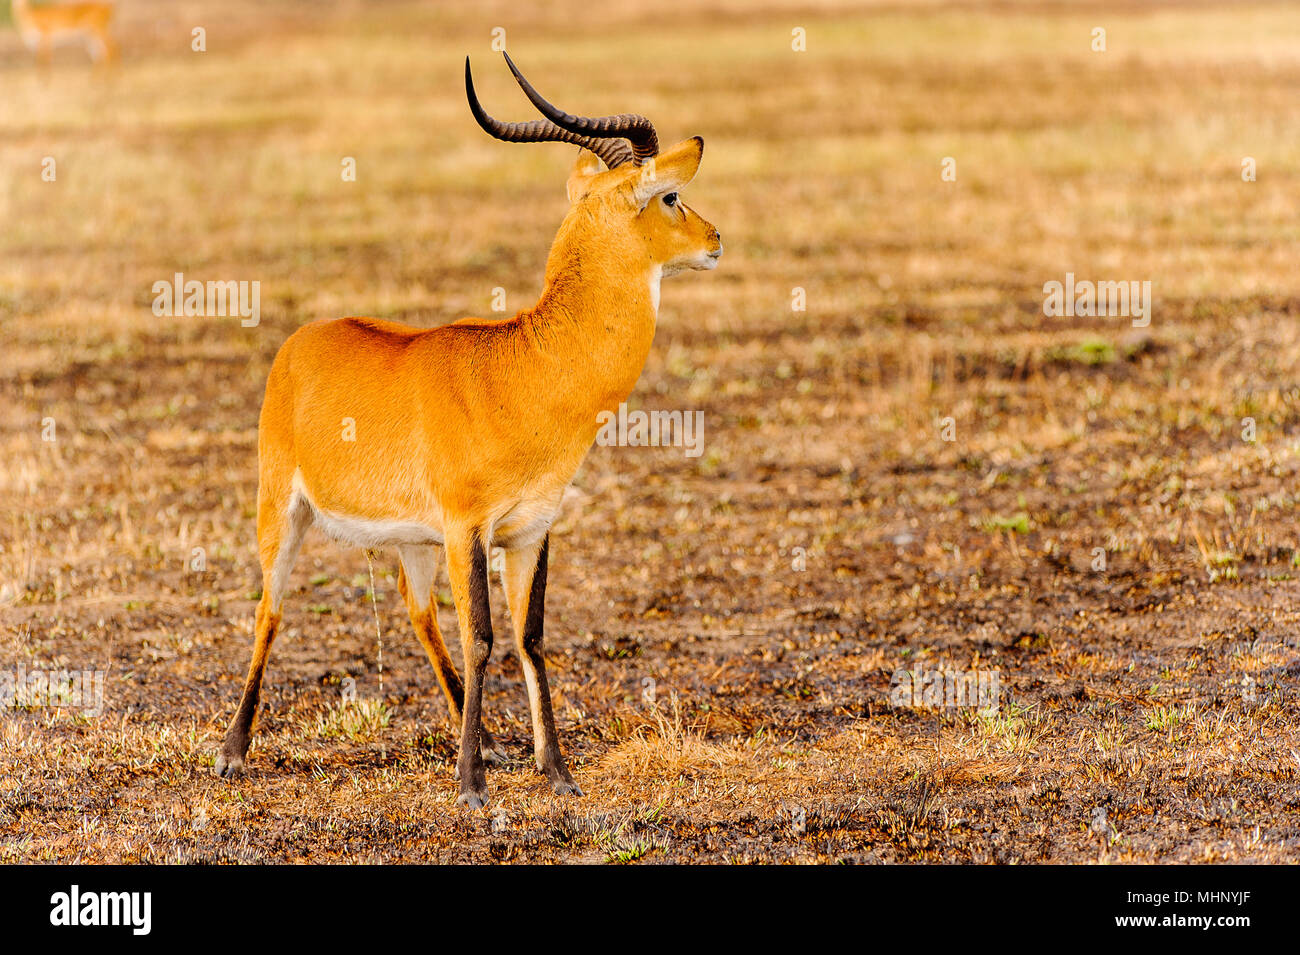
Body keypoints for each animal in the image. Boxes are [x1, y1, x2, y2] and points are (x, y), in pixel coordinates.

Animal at [214, 53, 722, 808]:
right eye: (669, 197)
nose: (716, 240)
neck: (525, 367)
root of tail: (304, 337)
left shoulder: (531, 528)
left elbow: (529, 637)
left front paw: (555, 769)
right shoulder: (468, 528)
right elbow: (482, 637)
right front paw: (472, 787)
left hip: (412, 541)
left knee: (417, 609)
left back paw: (481, 738)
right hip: (284, 509)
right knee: (269, 610)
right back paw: (233, 752)